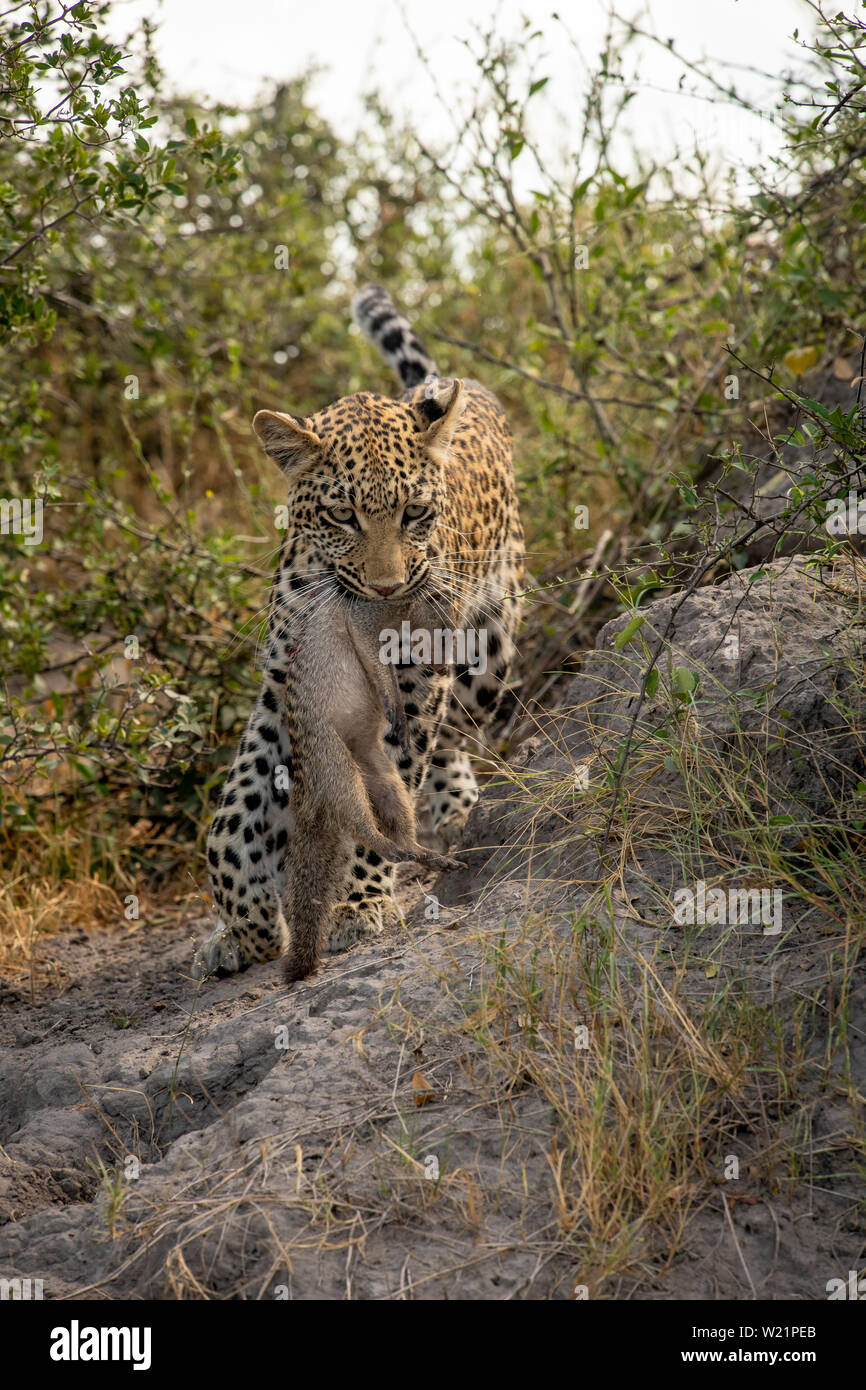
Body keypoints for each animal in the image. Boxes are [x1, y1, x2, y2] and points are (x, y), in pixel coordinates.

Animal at [194, 284, 525, 978]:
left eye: (417, 512)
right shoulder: (286, 684)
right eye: (342, 515)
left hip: (488, 650)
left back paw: (455, 806)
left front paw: (358, 902)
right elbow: (234, 814)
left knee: (455, 728)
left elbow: (390, 777)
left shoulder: (415, 677)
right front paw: (245, 925)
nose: (388, 590)